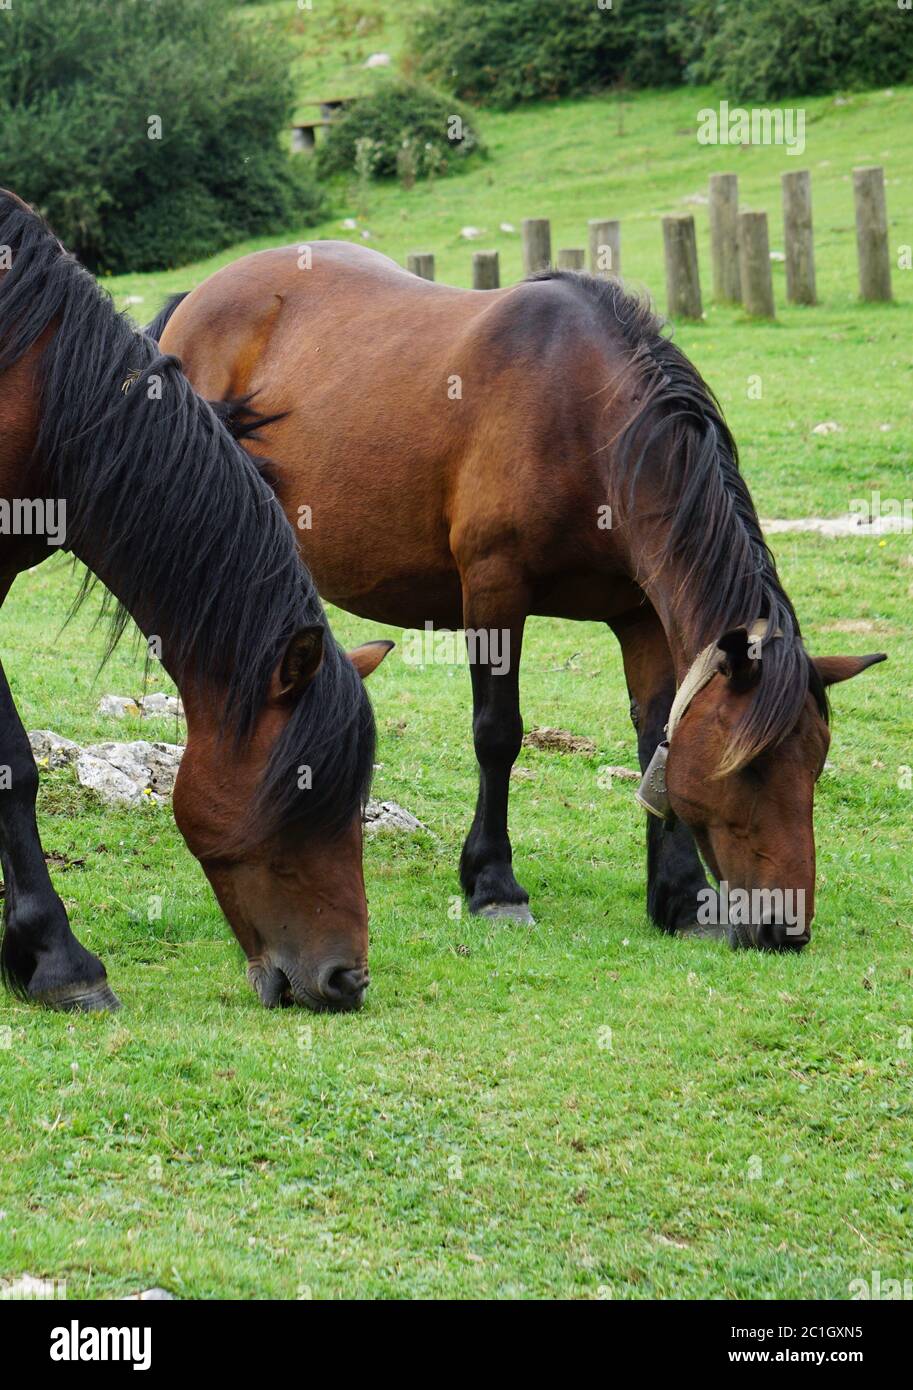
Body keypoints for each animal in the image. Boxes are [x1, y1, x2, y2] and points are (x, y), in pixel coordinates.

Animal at [152, 240, 886, 950]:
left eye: (815, 763)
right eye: (749, 769)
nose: (786, 929)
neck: (587, 419)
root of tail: (199, 295)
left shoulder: (641, 614)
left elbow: (655, 735)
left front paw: (679, 897)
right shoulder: (494, 591)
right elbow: (497, 734)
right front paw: (494, 885)